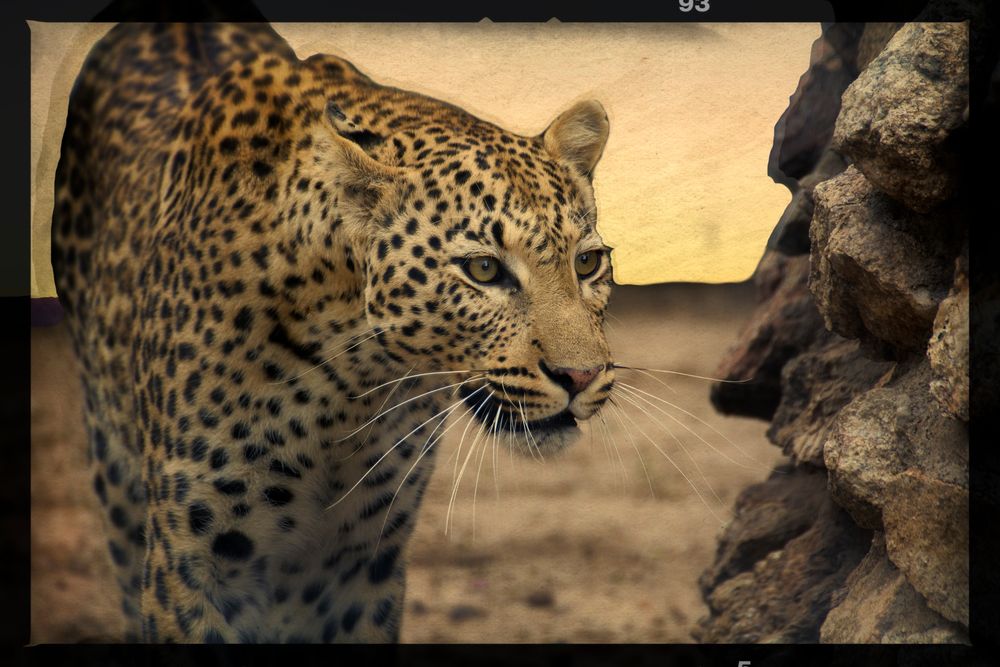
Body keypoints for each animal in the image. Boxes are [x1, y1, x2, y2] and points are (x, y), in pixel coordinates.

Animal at [51, 21, 616, 643]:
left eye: (588, 264)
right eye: (485, 269)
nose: (580, 376)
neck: (348, 381)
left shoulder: (360, 559)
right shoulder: (194, 559)